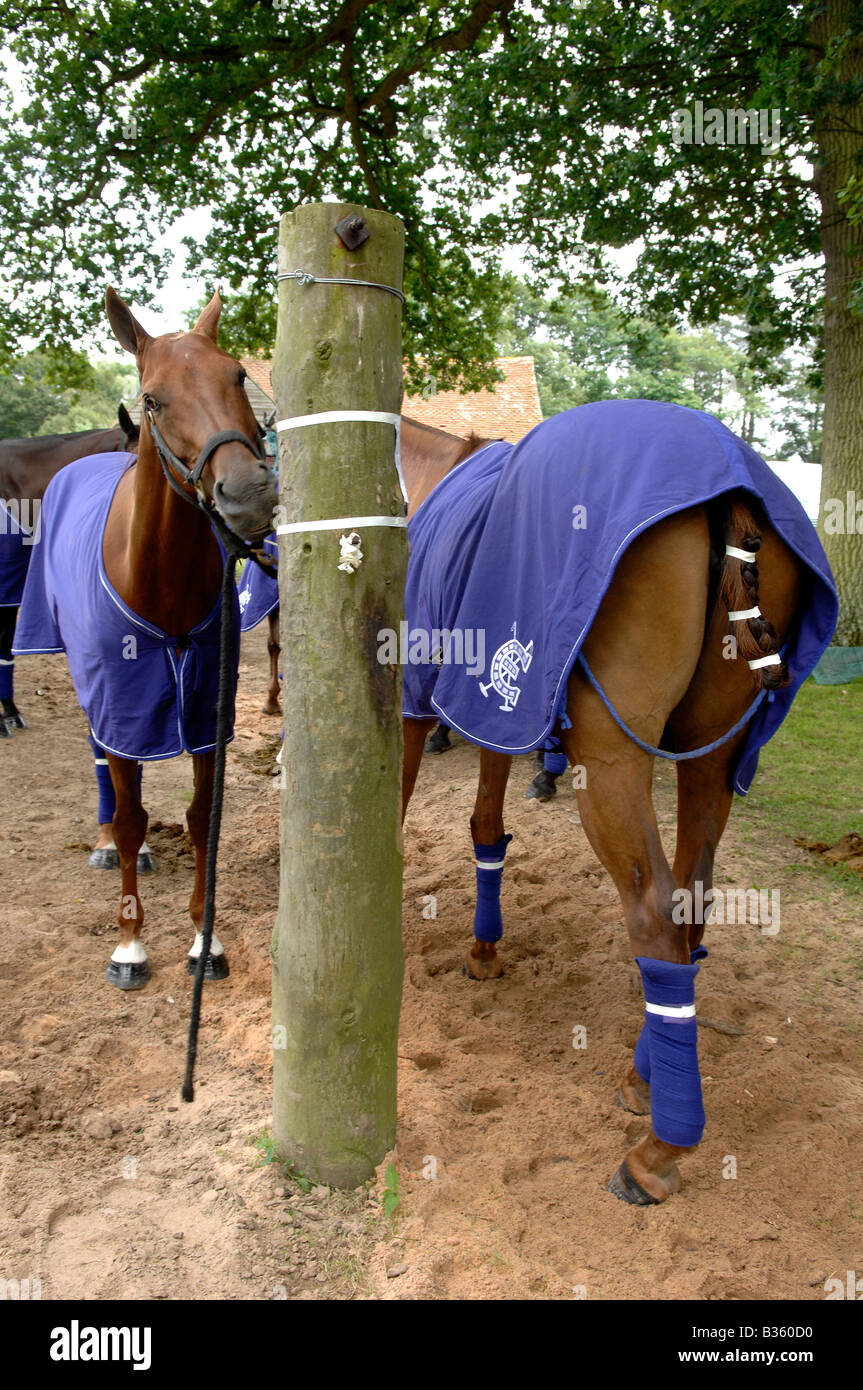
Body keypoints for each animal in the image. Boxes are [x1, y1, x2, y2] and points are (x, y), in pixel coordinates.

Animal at [398, 400, 837, 1206]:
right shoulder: (498, 709)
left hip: (609, 764)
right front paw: (483, 949)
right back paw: (646, 1078)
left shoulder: (416, 699)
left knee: (656, 915)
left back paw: (658, 1150)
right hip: (711, 757)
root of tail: (729, 484)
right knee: (691, 904)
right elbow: (486, 828)